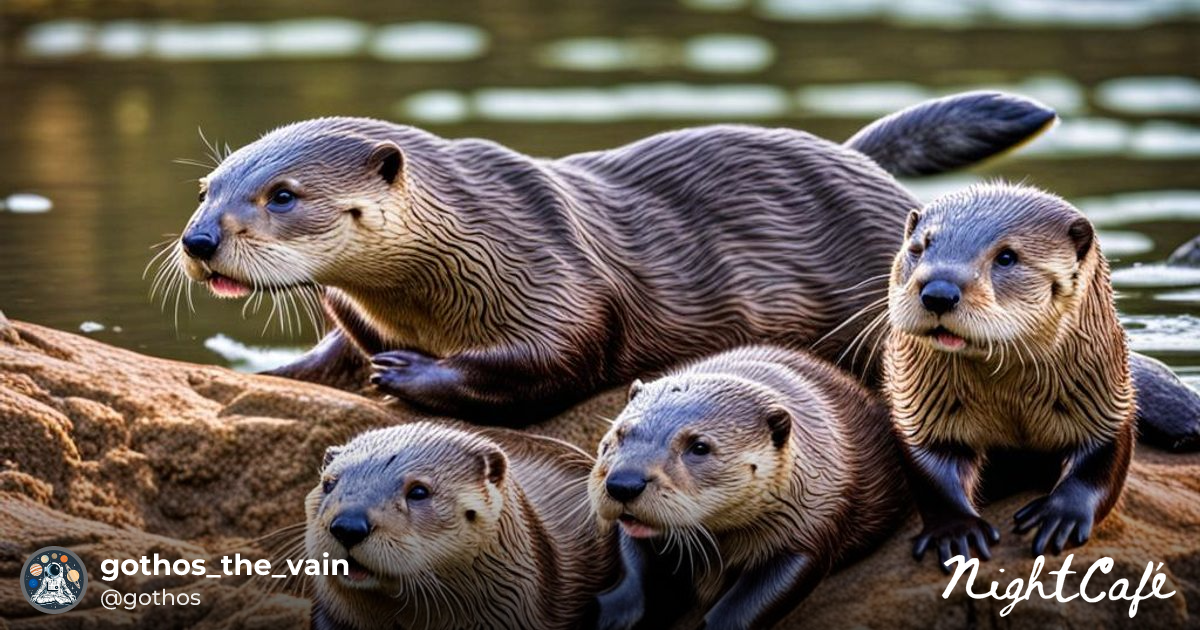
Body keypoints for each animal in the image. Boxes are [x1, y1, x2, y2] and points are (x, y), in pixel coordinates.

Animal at [173, 92, 1058, 424]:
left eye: (282, 195)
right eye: (207, 188)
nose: (200, 239)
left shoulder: (550, 272)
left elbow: (557, 358)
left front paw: (410, 374)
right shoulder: (360, 312)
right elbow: (348, 349)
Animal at [590, 346, 906, 630]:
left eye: (699, 447)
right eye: (619, 434)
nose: (624, 483)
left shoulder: (811, 522)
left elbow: (746, 606)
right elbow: (634, 572)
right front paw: (614, 615)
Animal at [885, 183, 1137, 570]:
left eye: (1006, 257)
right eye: (919, 248)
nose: (938, 292)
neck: (1010, 405)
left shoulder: (1104, 391)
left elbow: (1103, 455)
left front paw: (1061, 514)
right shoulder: (920, 401)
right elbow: (932, 467)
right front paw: (957, 530)